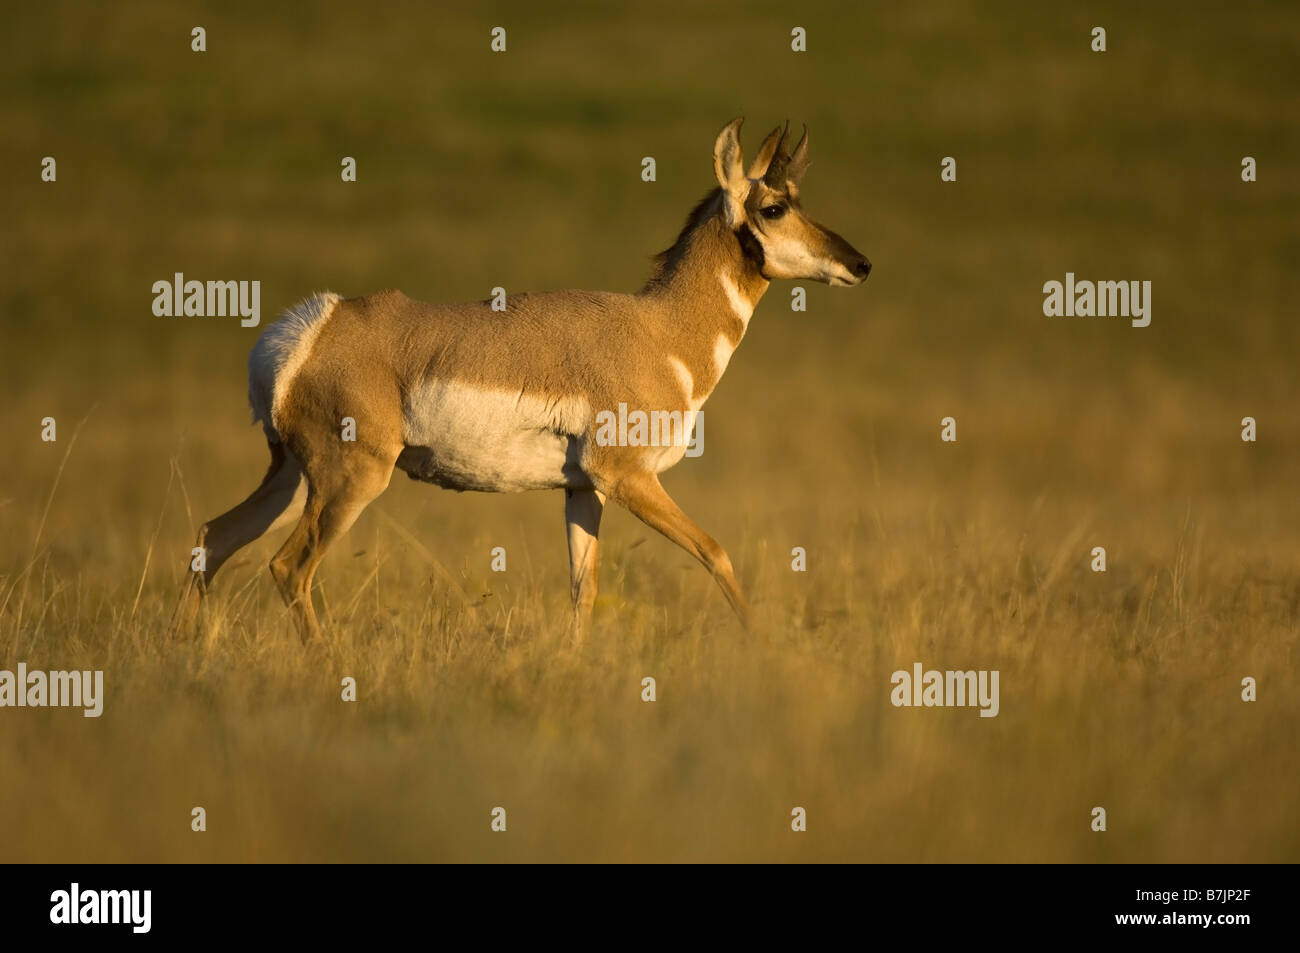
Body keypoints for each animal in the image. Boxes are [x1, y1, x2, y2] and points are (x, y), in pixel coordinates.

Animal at [167, 119, 871, 642]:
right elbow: (716, 551)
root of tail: (314, 325)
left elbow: (584, 590)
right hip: (350, 479)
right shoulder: (630, 479)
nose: (861, 264)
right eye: (773, 207)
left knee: (213, 538)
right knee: (289, 567)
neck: (658, 331)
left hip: (291, 478)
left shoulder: (584, 491)